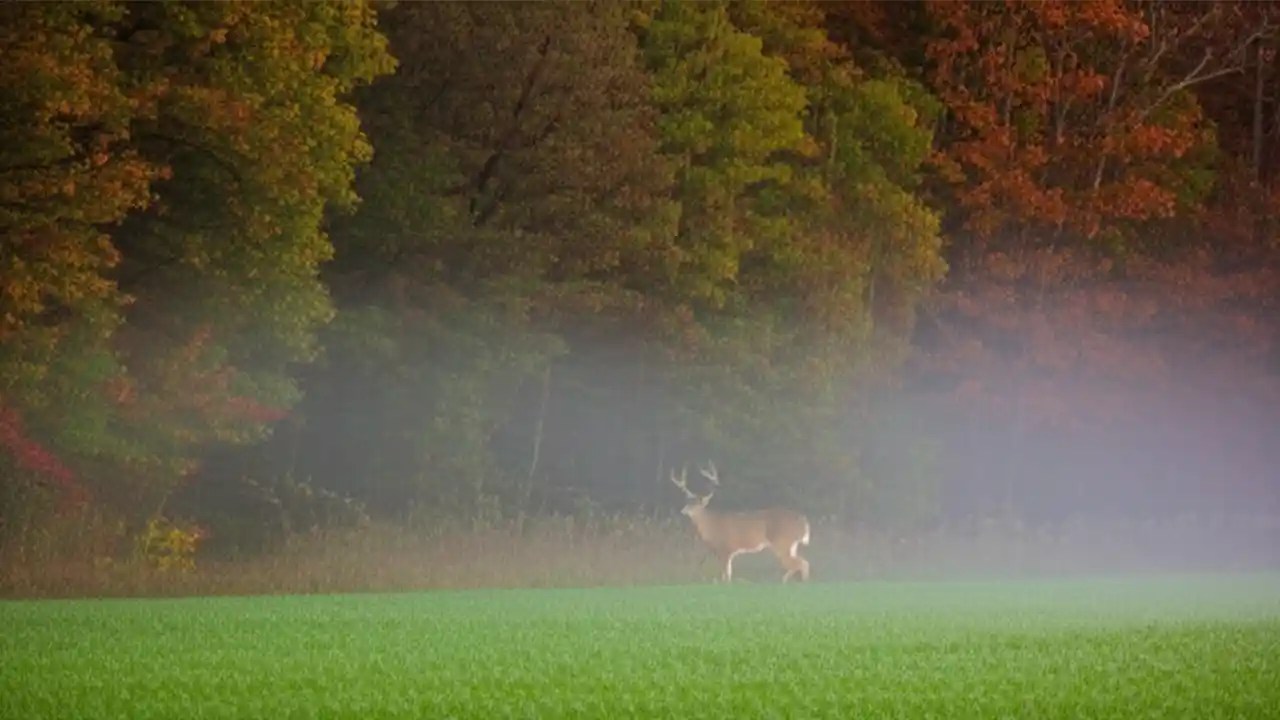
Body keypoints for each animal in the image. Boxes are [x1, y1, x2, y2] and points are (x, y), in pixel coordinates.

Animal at [670, 460, 811, 583]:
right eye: (688, 502)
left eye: (696, 504)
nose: (683, 511)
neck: (711, 525)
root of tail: (803, 522)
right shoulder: (729, 553)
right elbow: (728, 575)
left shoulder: (724, 549)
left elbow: (726, 576)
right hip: (792, 545)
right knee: (798, 564)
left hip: (782, 542)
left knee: (802, 563)